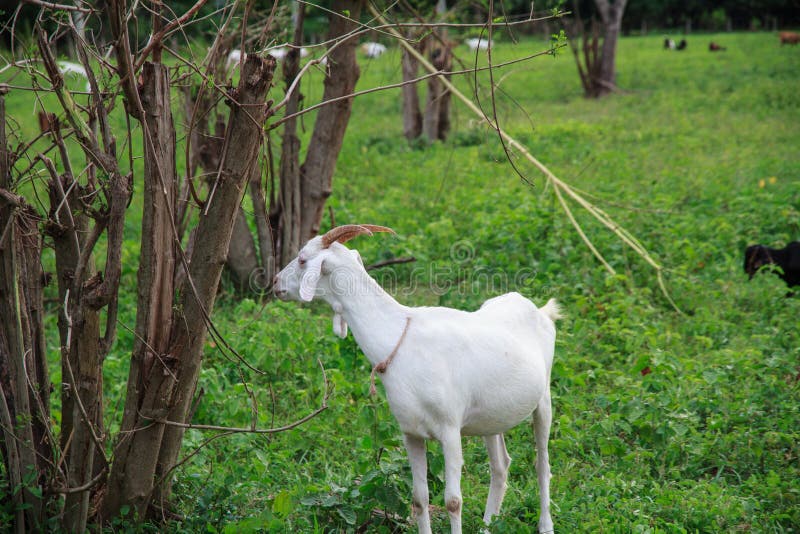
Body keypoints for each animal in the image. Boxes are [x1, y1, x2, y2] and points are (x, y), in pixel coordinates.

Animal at [274, 225, 560, 533]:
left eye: (302, 259)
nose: (276, 282)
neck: (398, 338)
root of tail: (540, 311)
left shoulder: (450, 430)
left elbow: (453, 501)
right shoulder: (410, 433)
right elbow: (419, 499)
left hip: (543, 398)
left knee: (542, 465)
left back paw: (546, 524)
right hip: (492, 418)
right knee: (500, 466)